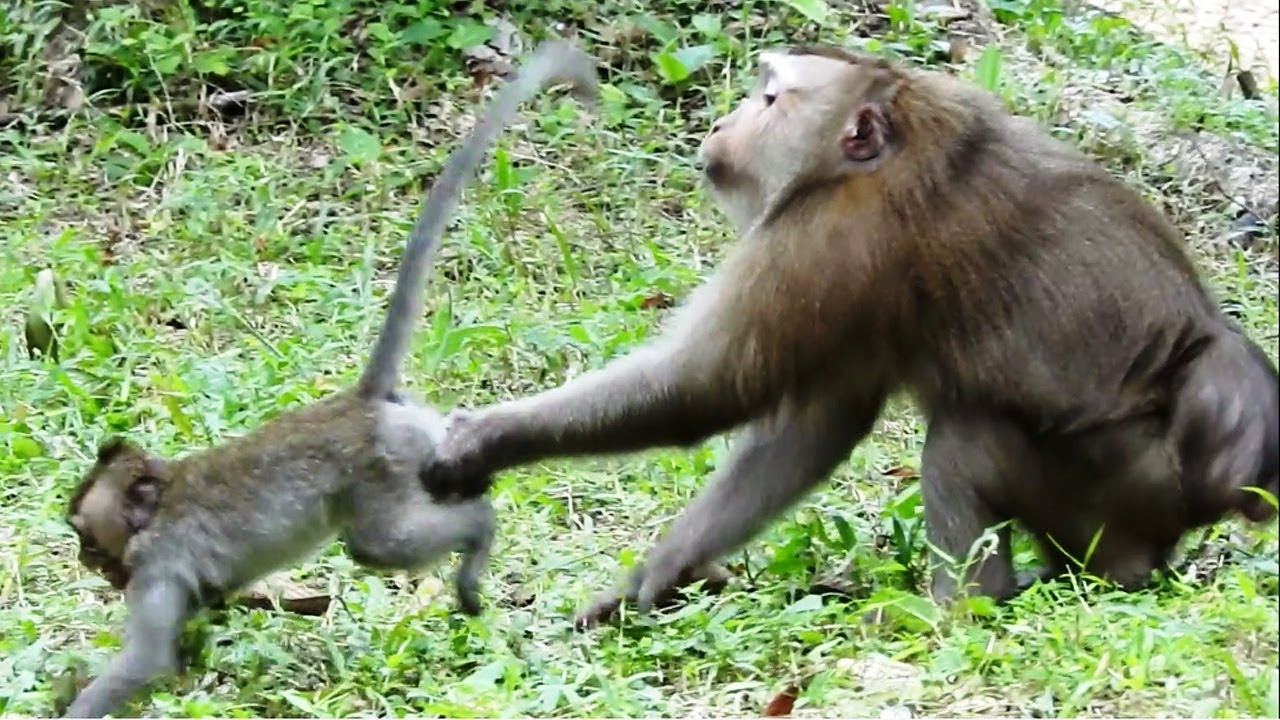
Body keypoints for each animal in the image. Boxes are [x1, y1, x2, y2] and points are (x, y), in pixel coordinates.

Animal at [60, 40, 597, 718]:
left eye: (87, 536)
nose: (90, 563)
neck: (159, 506)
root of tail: (363, 403)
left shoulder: (160, 562)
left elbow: (148, 658)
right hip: (415, 445)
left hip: (380, 474)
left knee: (380, 544)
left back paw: (478, 534)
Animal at [420, 45, 1279, 627]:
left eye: (770, 97)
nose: (724, 120)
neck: (887, 147)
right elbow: (814, 424)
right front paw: (659, 576)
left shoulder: (828, 238)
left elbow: (708, 386)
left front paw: (482, 439)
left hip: (1114, 485)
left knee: (965, 441)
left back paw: (958, 609)